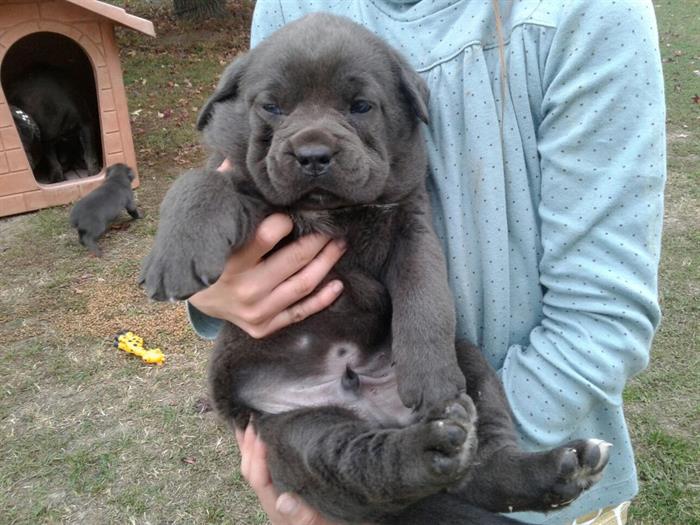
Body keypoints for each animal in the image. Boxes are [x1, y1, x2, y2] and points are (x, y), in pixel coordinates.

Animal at [139, 15, 608, 524]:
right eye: (272, 107)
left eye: (360, 106)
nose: (313, 154)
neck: (335, 211)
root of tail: (380, 410)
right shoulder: (246, 182)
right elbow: (200, 182)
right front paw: (173, 257)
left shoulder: (410, 223)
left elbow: (425, 296)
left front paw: (429, 377)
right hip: (294, 434)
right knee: (366, 466)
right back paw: (432, 450)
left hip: (469, 363)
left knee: (484, 464)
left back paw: (556, 467)